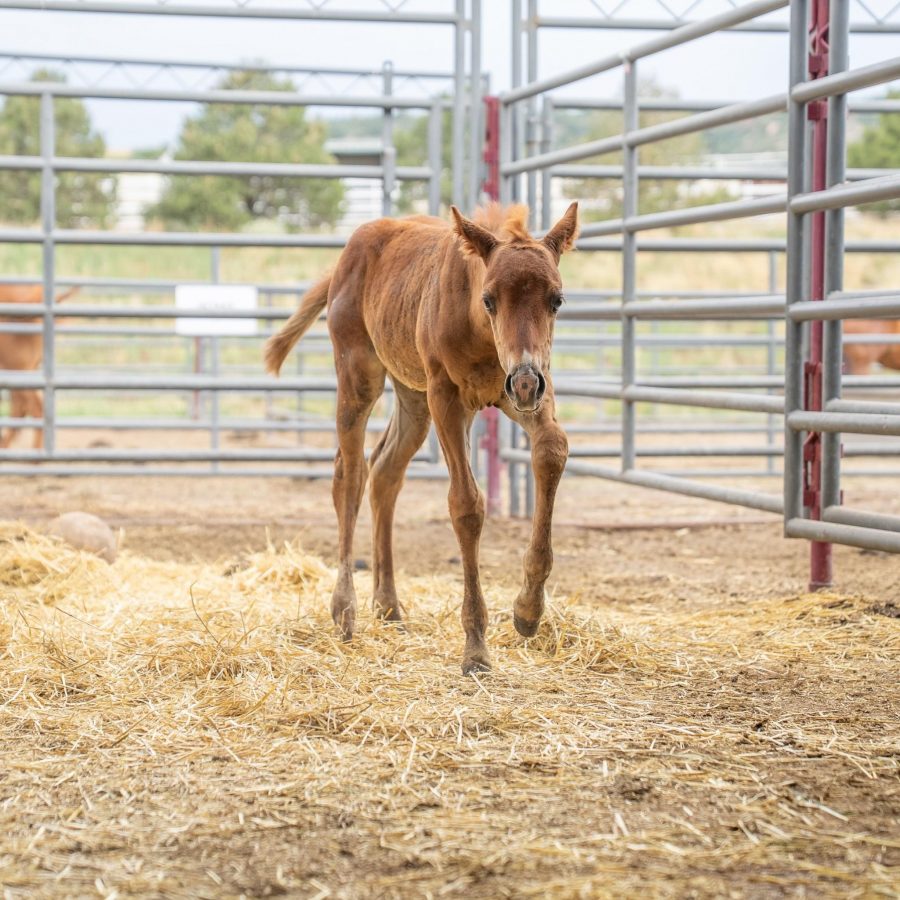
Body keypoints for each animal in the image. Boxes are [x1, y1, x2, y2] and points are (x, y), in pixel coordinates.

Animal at [264, 202, 578, 674]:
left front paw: (527, 612)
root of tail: (345, 258)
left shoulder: (520, 390)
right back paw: (345, 611)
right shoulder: (447, 396)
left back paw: (388, 606)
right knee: (350, 475)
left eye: (556, 300)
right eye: (489, 299)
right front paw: (476, 648)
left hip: (412, 396)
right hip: (360, 375)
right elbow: (466, 505)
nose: (525, 383)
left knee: (386, 472)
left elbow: (552, 450)